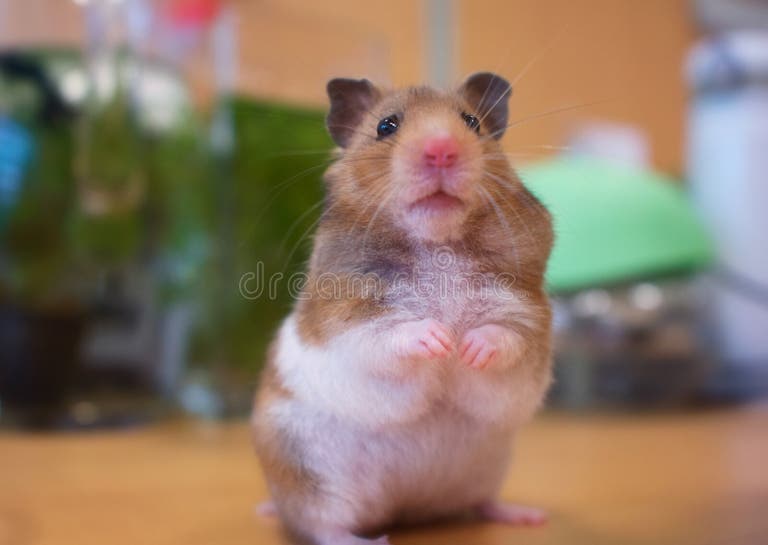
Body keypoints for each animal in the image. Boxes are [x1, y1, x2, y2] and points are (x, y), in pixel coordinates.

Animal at [252, 72, 554, 545]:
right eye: (386, 126)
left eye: (471, 122)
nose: (442, 148)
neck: (438, 244)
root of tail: (408, 510)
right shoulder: (348, 327)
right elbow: (386, 336)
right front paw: (439, 338)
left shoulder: (528, 324)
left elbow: (505, 339)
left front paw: (467, 348)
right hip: (305, 474)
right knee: (319, 525)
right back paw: (368, 540)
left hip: (490, 467)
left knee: (482, 502)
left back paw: (526, 516)